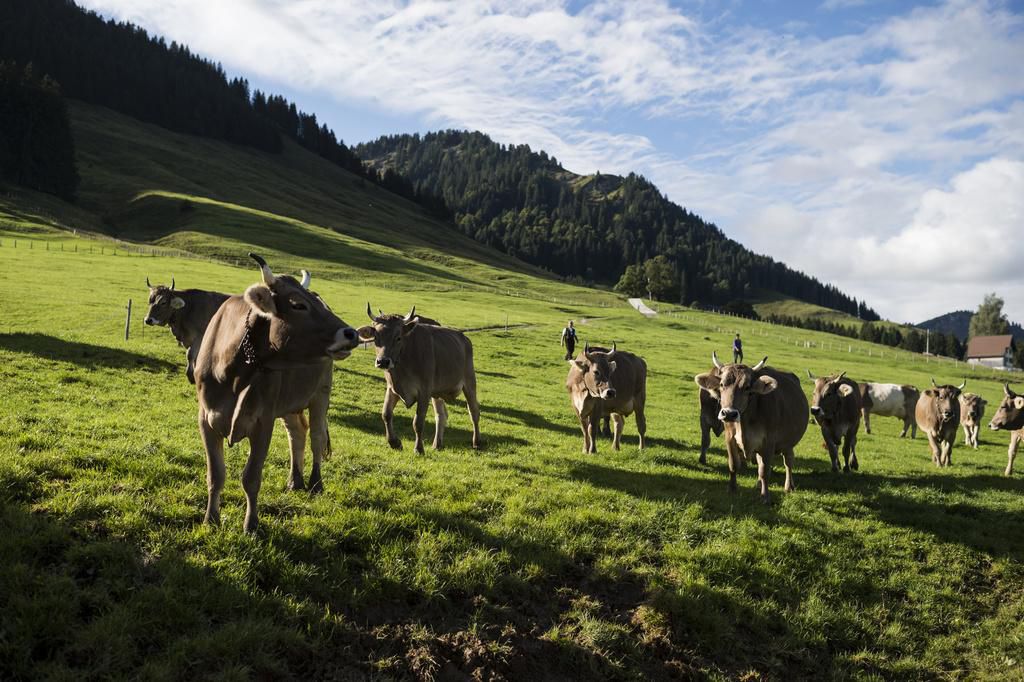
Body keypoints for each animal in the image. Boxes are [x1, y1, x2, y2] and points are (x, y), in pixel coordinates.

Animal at [193, 253, 359, 532]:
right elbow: (215, 474)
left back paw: (315, 483)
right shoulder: (206, 419)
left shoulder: (263, 421)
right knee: (297, 433)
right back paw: (295, 480)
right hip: (288, 403)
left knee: (315, 437)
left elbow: (251, 478)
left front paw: (251, 525)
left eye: (316, 302)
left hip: (320, 394)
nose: (352, 333)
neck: (234, 374)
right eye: (298, 304)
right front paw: (210, 519)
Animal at [358, 304, 481, 454]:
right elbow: (386, 414)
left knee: (474, 411)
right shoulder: (392, 388)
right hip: (437, 393)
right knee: (441, 415)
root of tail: (464, 338)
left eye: (398, 337)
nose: (383, 362)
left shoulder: (424, 391)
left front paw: (419, 448)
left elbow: (418, 422)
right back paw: (437, 444)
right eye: (376, 337)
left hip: (469, 382)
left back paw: (476, 442)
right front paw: (395, 442)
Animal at [695, 353, 808, 503]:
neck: (745, 422)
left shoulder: (769, 442)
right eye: (722, 384)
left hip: (788, 442)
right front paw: (732, 489)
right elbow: (734, 465)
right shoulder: (730, 439)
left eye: (747, 387)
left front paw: (765, 497)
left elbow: (765, 471)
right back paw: (758, 484)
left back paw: (789, 486)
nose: (729, 413)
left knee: (788, 462)